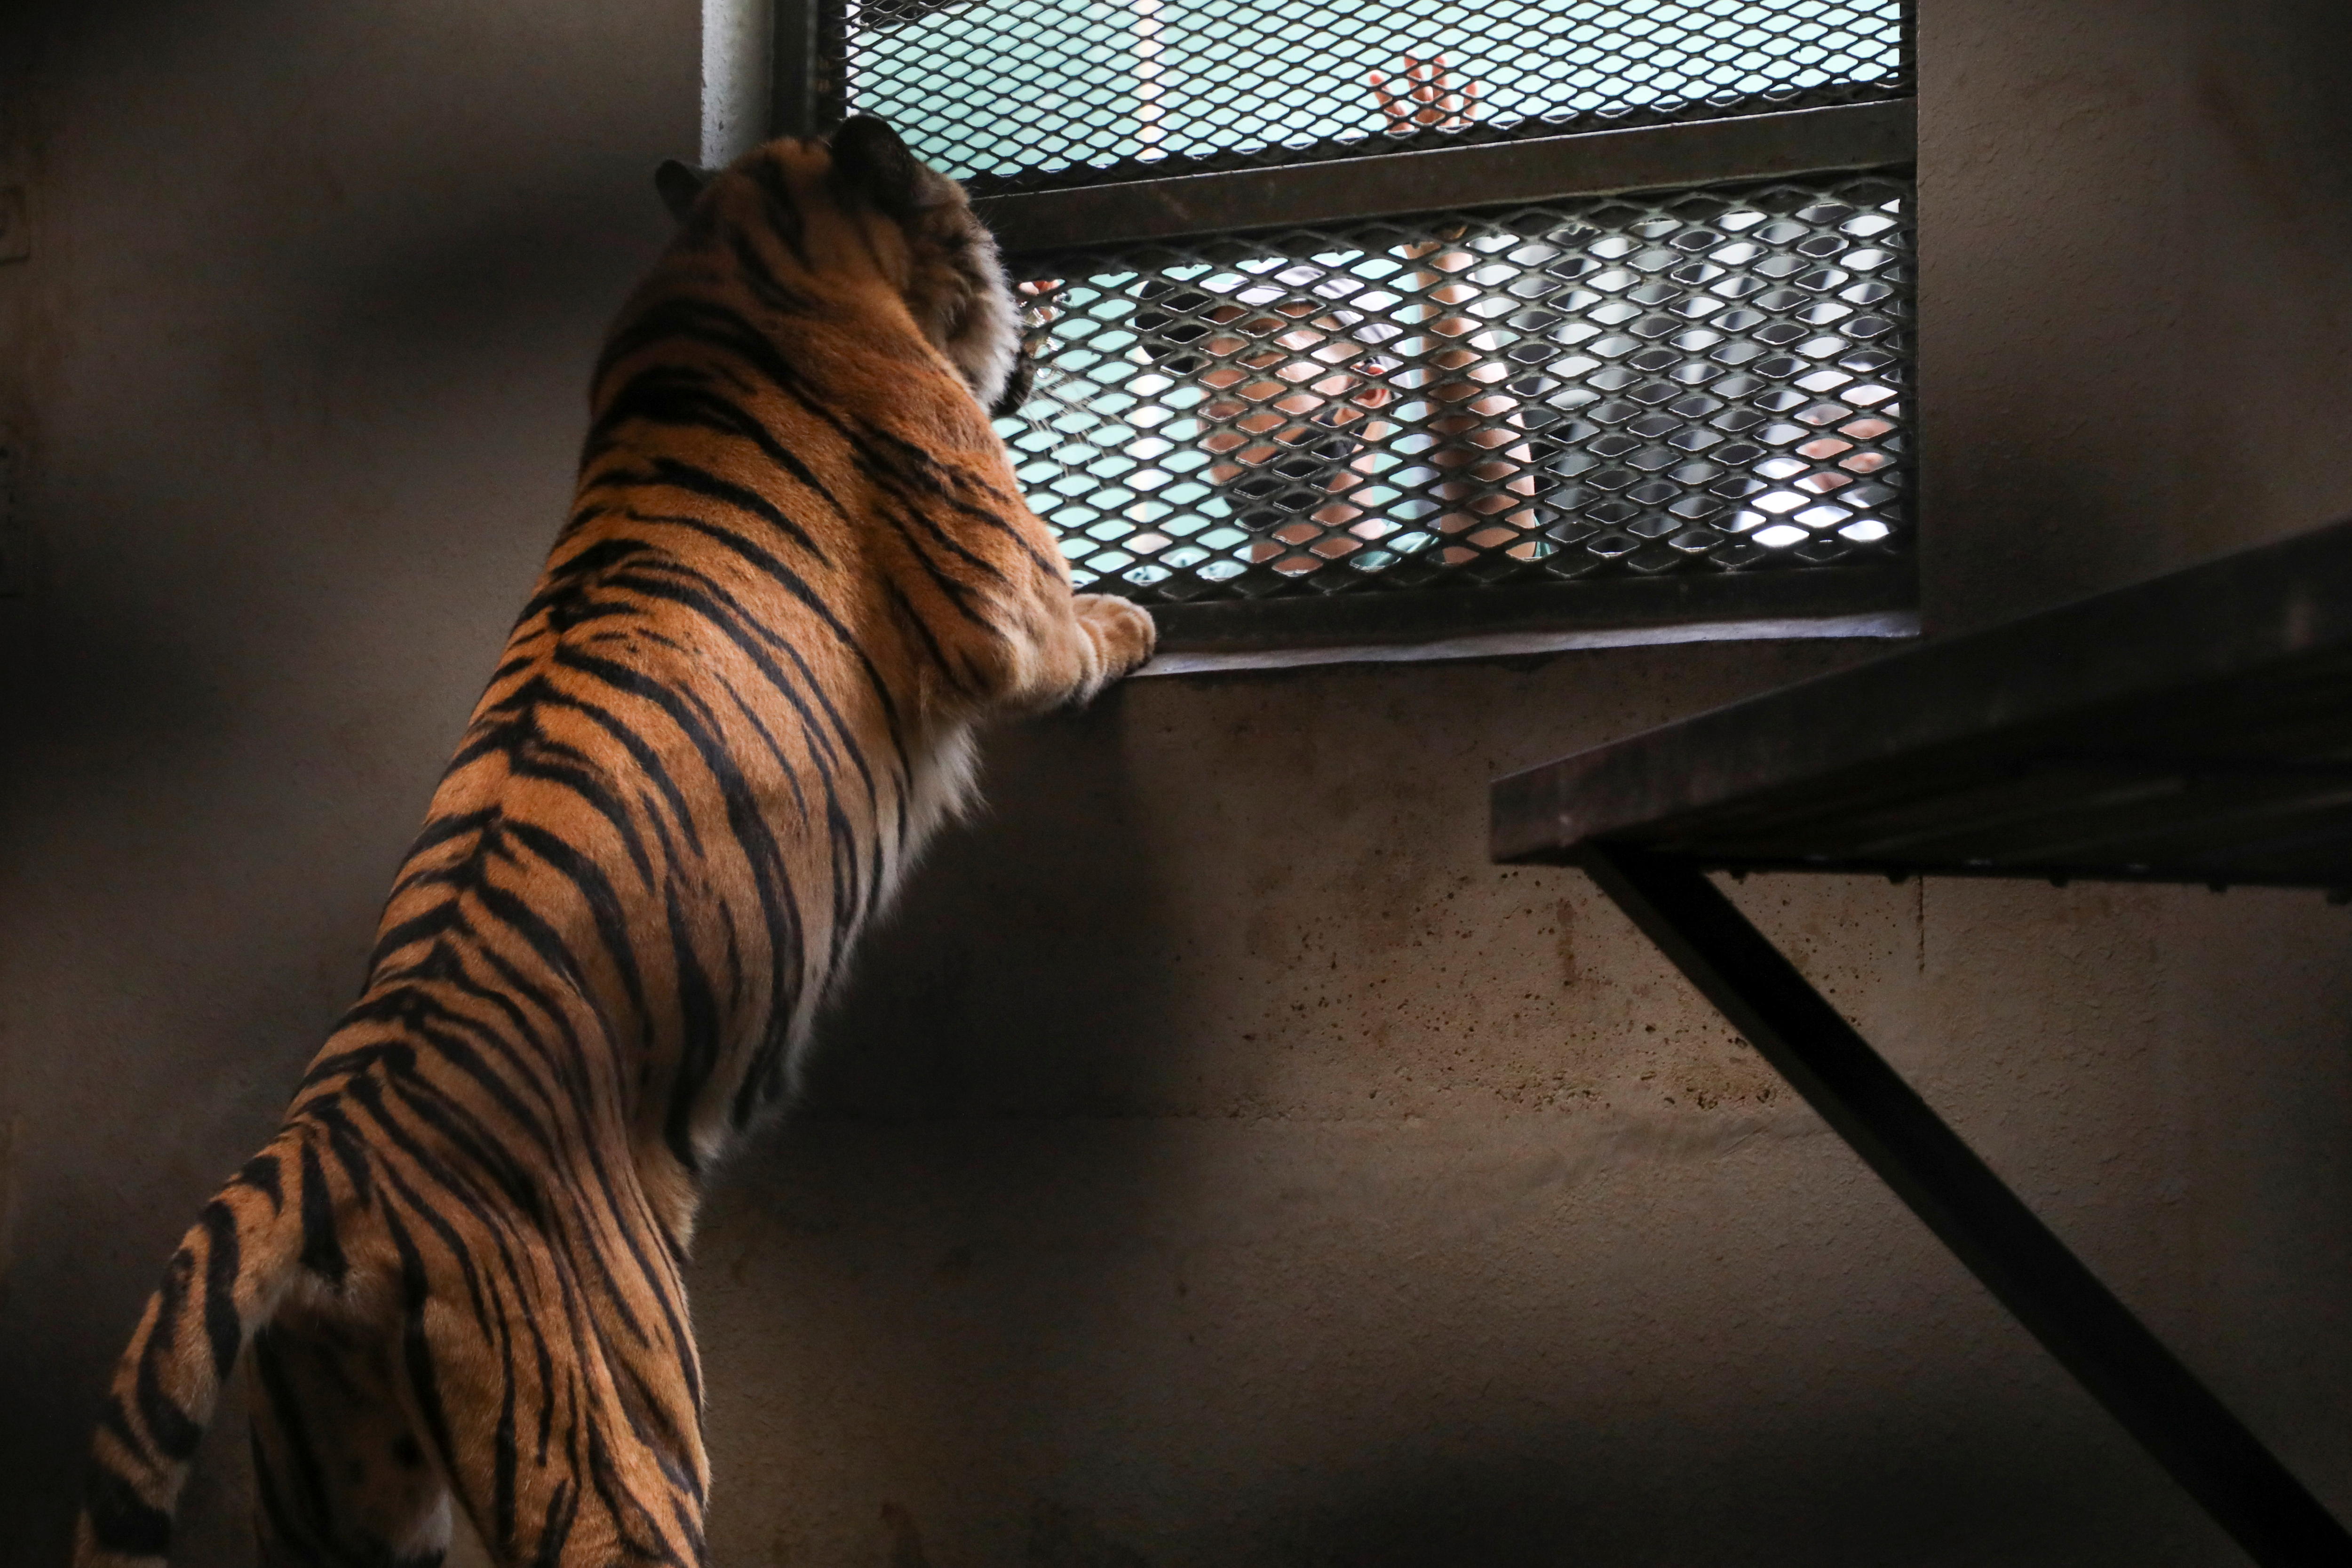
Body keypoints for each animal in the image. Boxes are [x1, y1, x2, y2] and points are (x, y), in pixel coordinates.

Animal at [72, 114, 1156, 1567]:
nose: (1027, 329)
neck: (746, 247)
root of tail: (321, 1148)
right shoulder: (1002, 593)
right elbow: (1073, 630)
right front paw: (1137, 618)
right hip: (612, 1437)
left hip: (342, 1489)